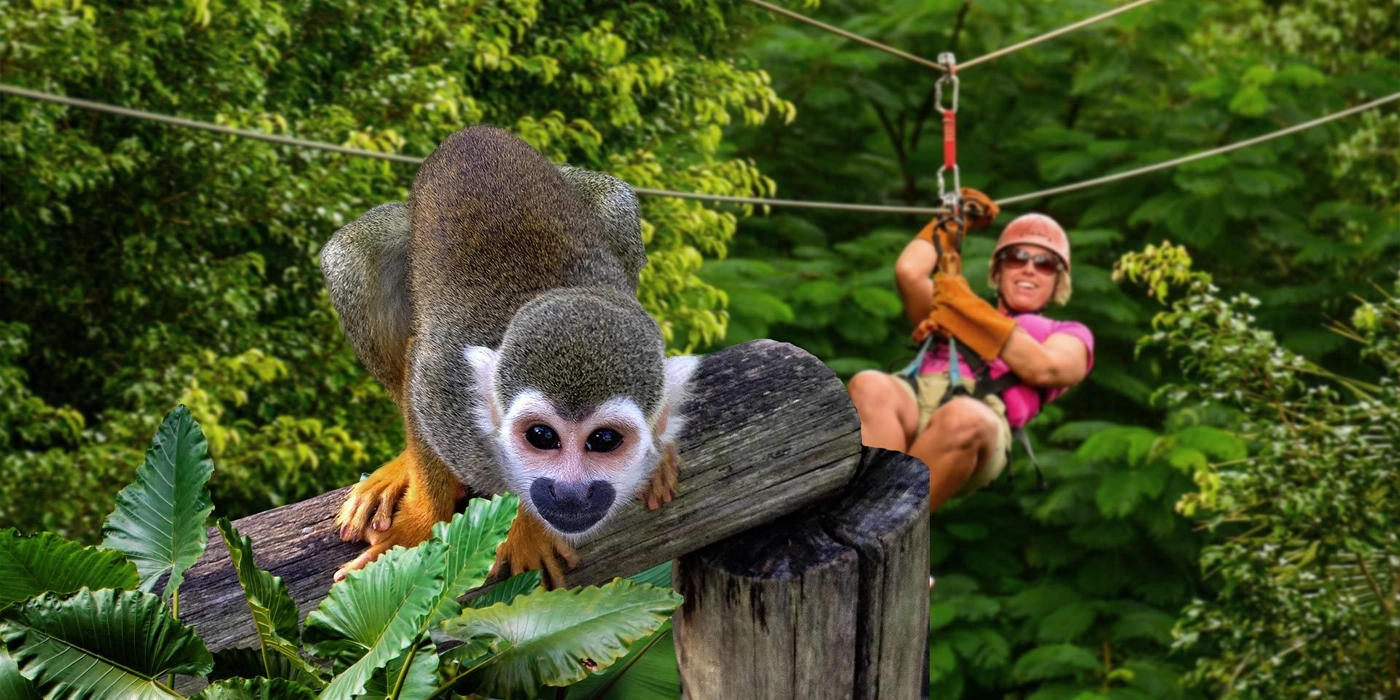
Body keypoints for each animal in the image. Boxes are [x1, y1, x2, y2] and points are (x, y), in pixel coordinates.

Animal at [320, 125, 697, 587]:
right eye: (542, 437)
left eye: (605, 442)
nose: (573, 492)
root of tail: (475, 132)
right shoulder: (445, 382)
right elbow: (419, 381)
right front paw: (419, 525)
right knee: (351, 257)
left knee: (615, 202)